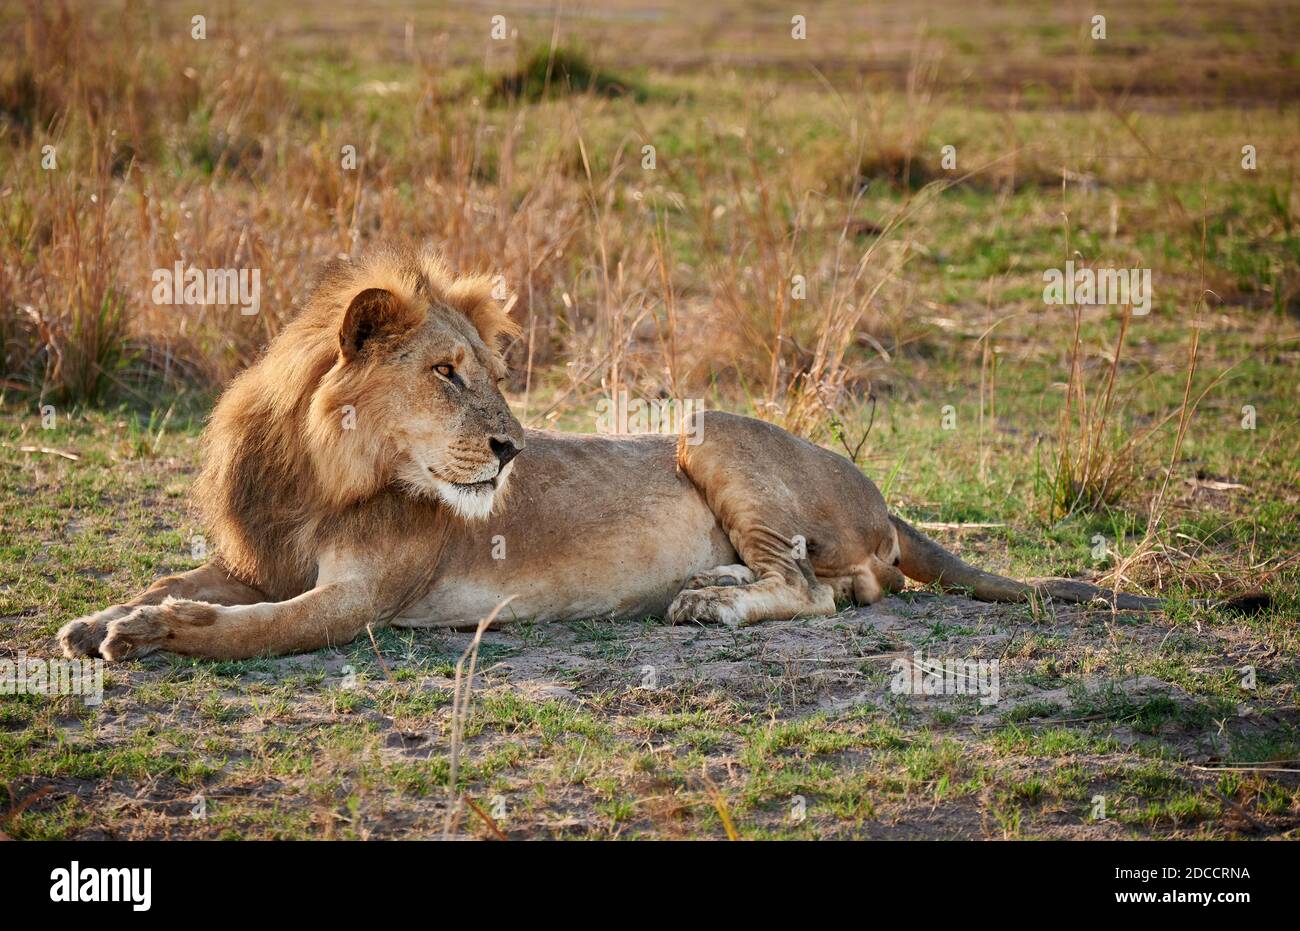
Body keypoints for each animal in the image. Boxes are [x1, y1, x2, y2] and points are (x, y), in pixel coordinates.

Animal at [57, 244, 1264, 662]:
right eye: (447, 373)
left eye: (487, 370)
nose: (512, 445)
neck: (317, 472)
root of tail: (883, 495)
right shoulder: (262, 554)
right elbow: (182, 578)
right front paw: (100, 616)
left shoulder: (359, 598)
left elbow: (248, 628)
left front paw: (153, 633)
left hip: (703, 429)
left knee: (816, 588)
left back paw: (709, 601)